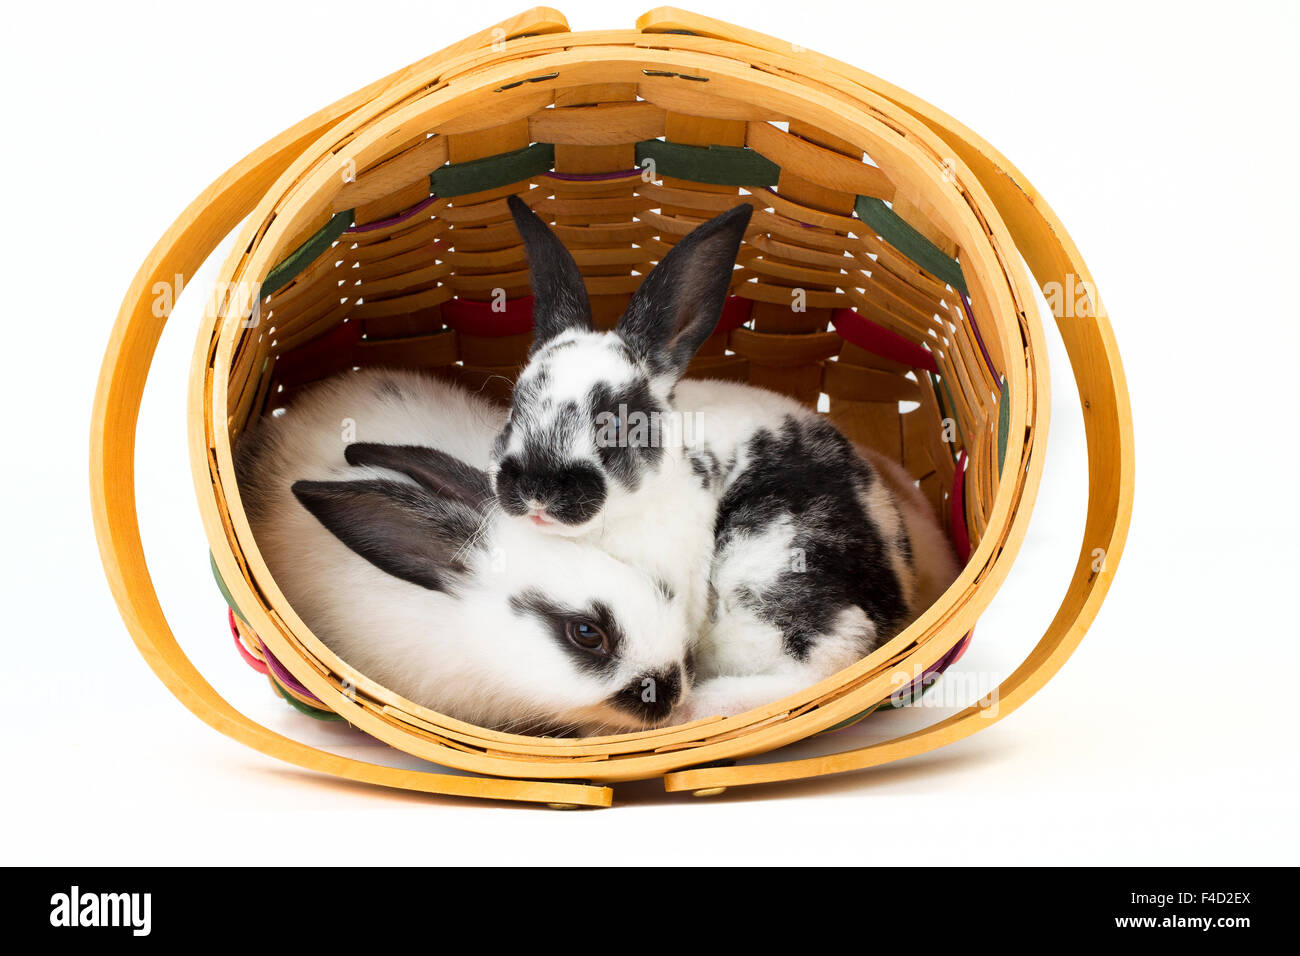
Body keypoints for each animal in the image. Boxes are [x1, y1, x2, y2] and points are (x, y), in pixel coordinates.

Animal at [496, 195, 960, 723]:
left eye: (616, 425)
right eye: (514, 408)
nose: (536, 488)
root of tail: (899, 597)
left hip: (770, 560)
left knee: (824, 667)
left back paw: (704, 706)